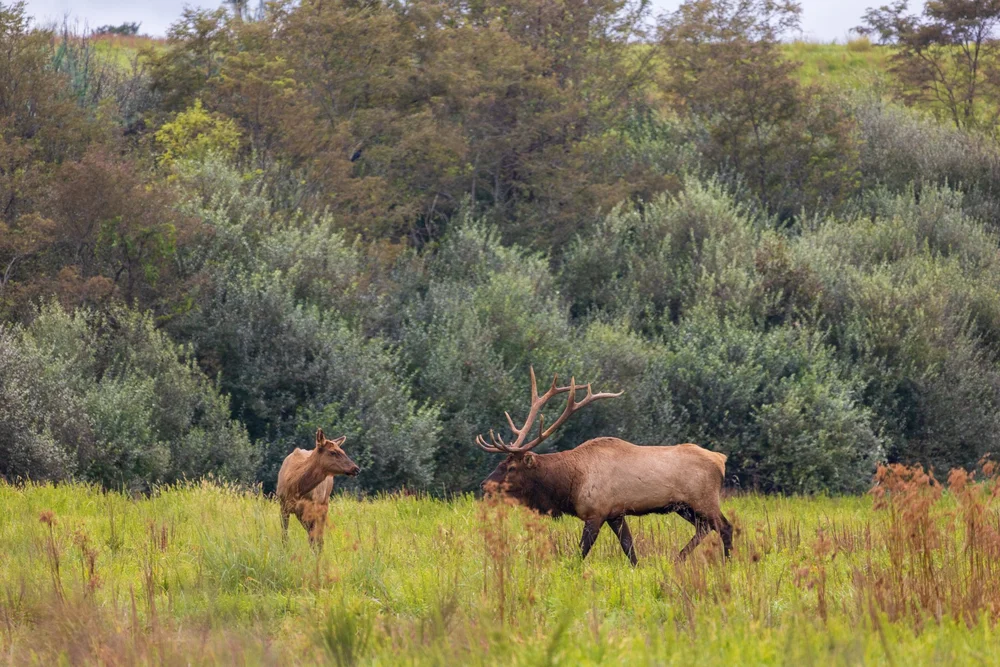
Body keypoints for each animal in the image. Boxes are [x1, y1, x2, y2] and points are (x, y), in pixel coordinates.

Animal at [476, 368, 733, 565]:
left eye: (511, 467)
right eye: (501, 463)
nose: (484, 484)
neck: (570, 484)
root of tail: (721, 459)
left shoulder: (596, 511)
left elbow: (582, 551)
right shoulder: (615, 513)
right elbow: (629, 548)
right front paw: (638, 568)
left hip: (704, 500)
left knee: (725, 527)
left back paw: (726, 563)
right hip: (685, 507)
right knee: (704, 528)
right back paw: (678, 559)